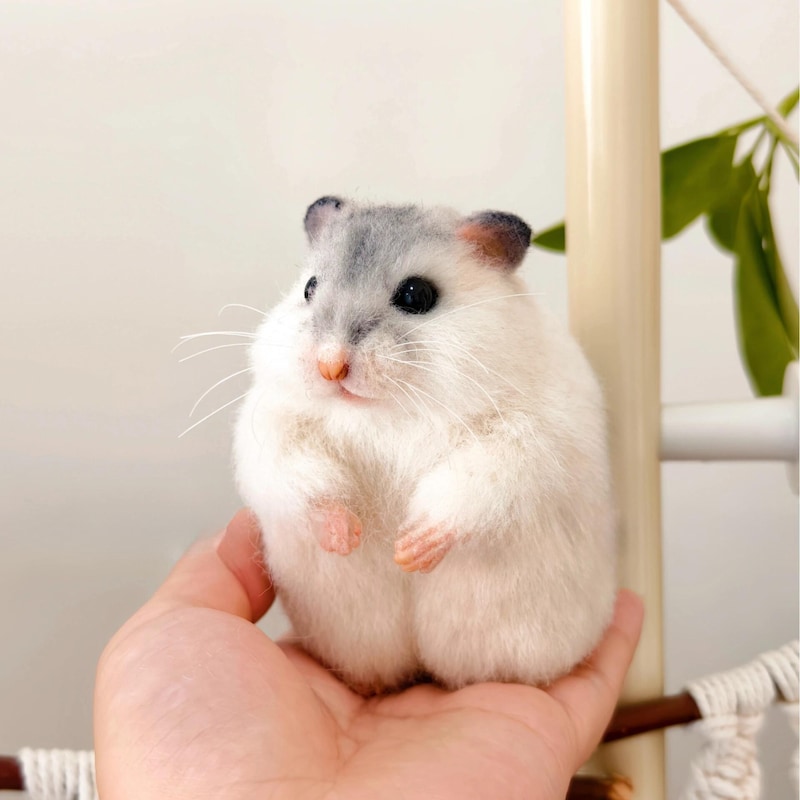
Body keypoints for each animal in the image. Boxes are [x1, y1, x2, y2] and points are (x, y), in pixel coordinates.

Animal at [234, 196, 616, 693]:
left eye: (417, 296)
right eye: (309, 288)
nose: (329, 365)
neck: (385, 412)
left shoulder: (519, 443)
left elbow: (463, 498)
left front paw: (408, 552)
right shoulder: (275, 429)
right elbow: (308, 487)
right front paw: (348, 537)